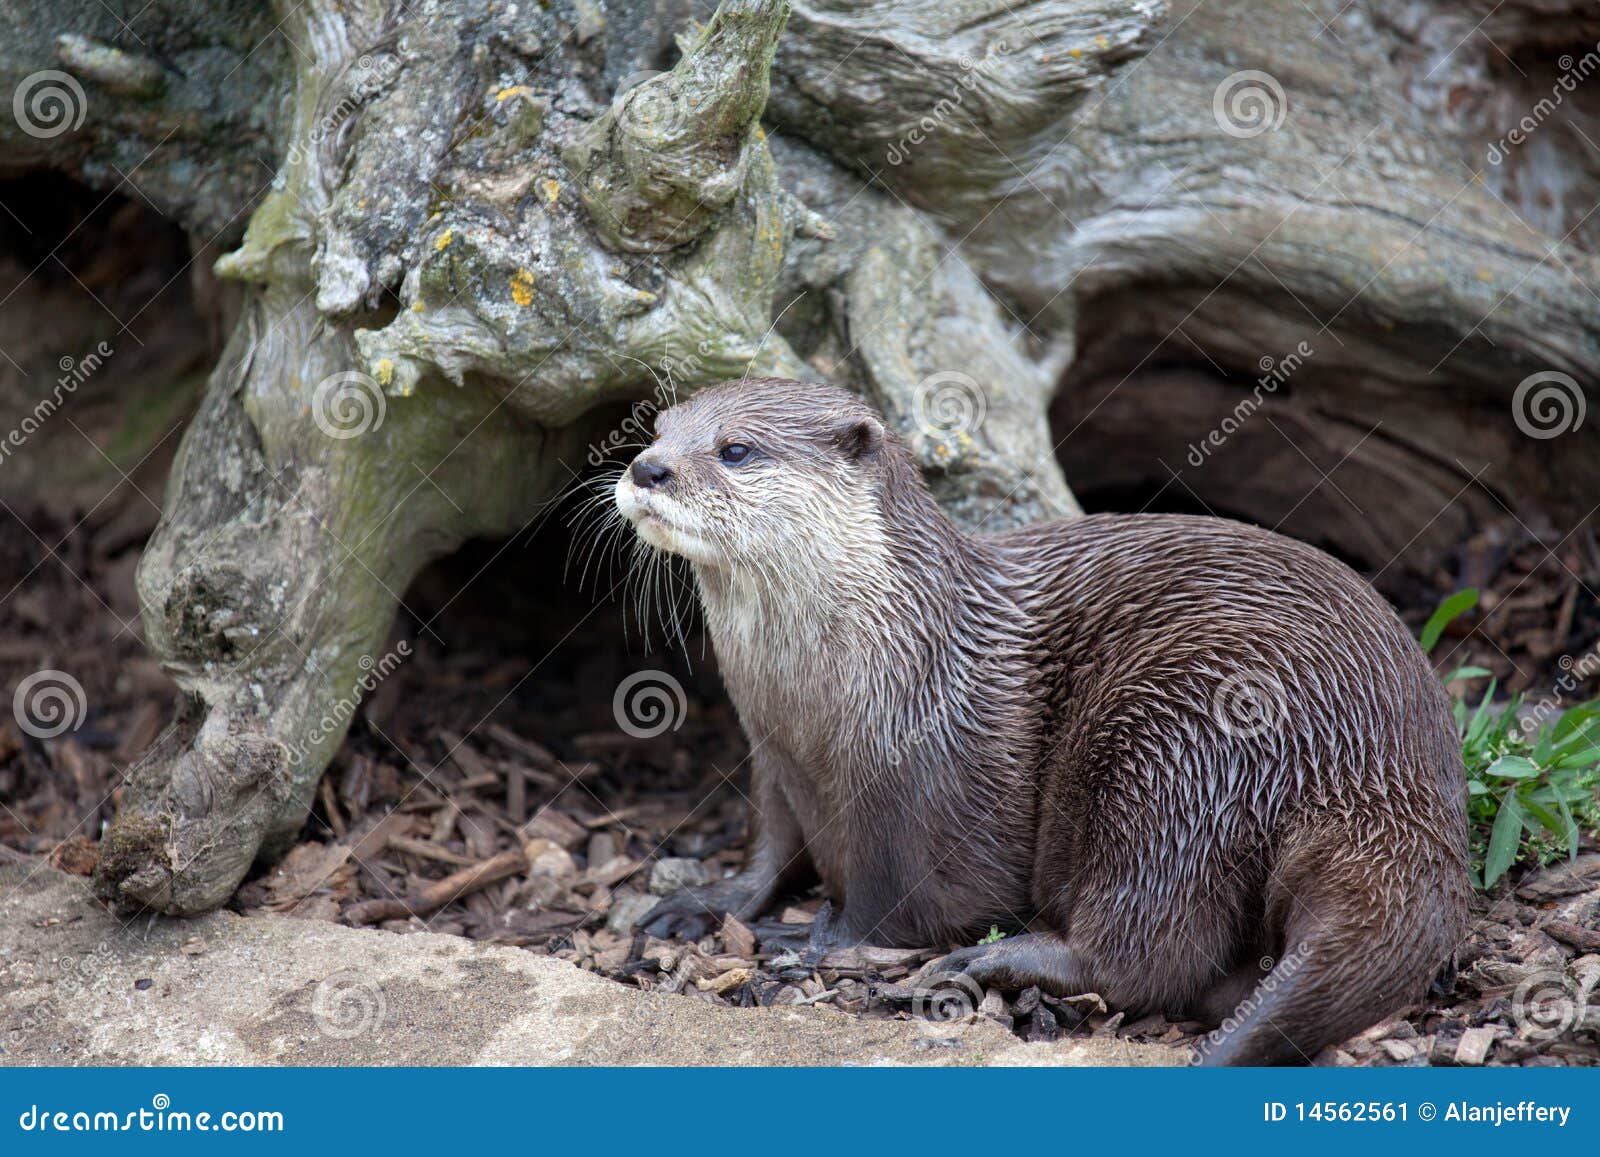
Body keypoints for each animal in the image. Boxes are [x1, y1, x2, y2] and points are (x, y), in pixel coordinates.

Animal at [615, 377, 1468, 1066]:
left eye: (736, 449)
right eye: (658, 426)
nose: (647, 468)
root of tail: (1376, 770)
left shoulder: (919, 774)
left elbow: (891, 901)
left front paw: (814, 938)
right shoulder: (770, 754)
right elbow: (770, 845)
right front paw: (710, 901)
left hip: (1177, 735)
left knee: (1150, 952)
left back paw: (992, 963)